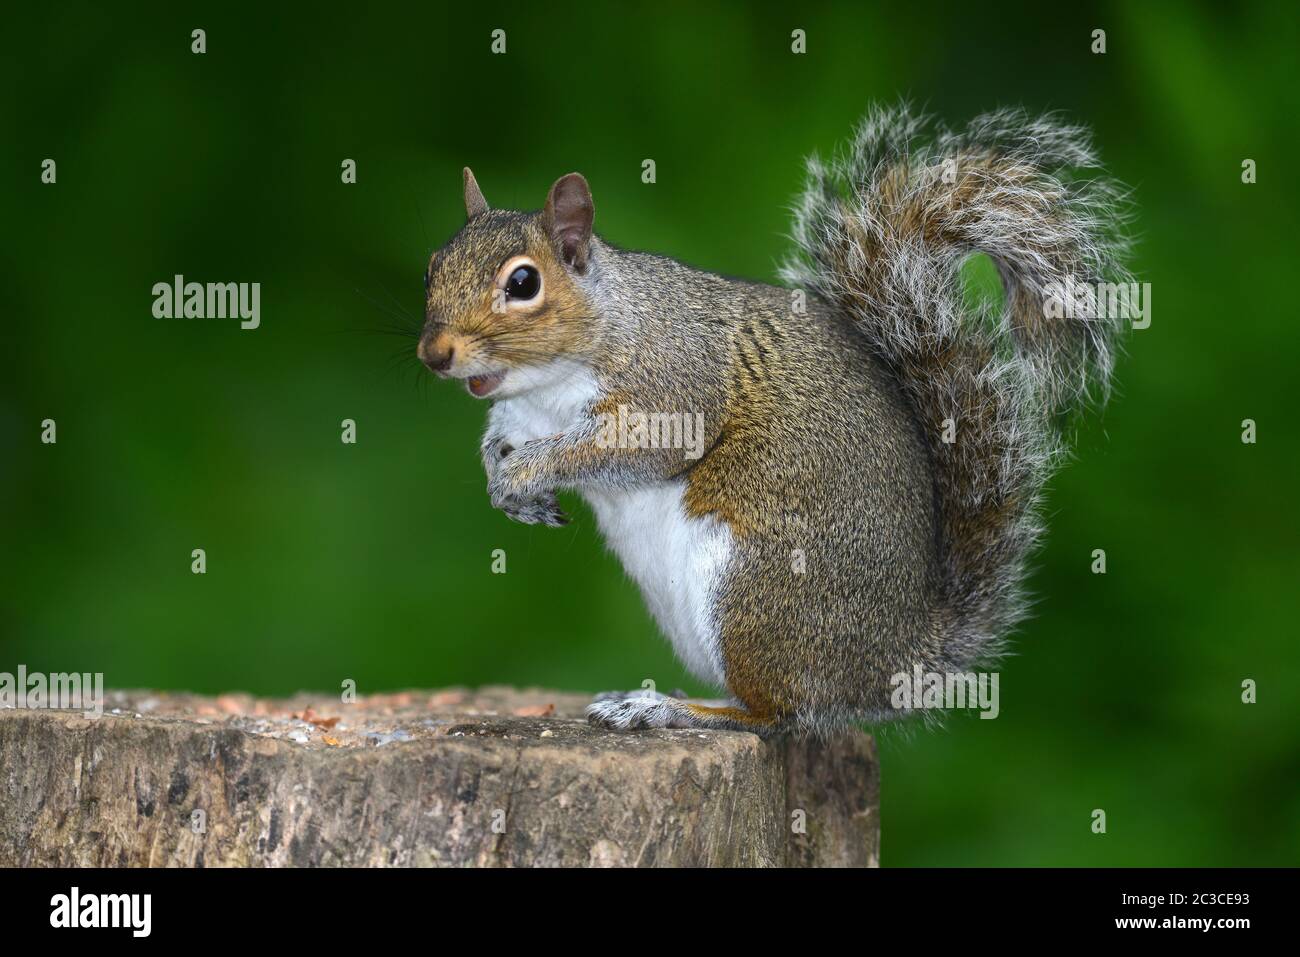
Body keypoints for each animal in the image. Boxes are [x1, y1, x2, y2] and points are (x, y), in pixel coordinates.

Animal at [418, 105, 1131, 736]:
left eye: (523, 284)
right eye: (432, 266)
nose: (433, 353)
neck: (551, 383)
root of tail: (896, 662)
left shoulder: (672, 387)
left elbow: (624, 451)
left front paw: (529, 474)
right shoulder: (519, 410)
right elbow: (500, 438)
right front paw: (504, 480)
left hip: (751, 592)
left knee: (779, 714)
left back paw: (665, 709)